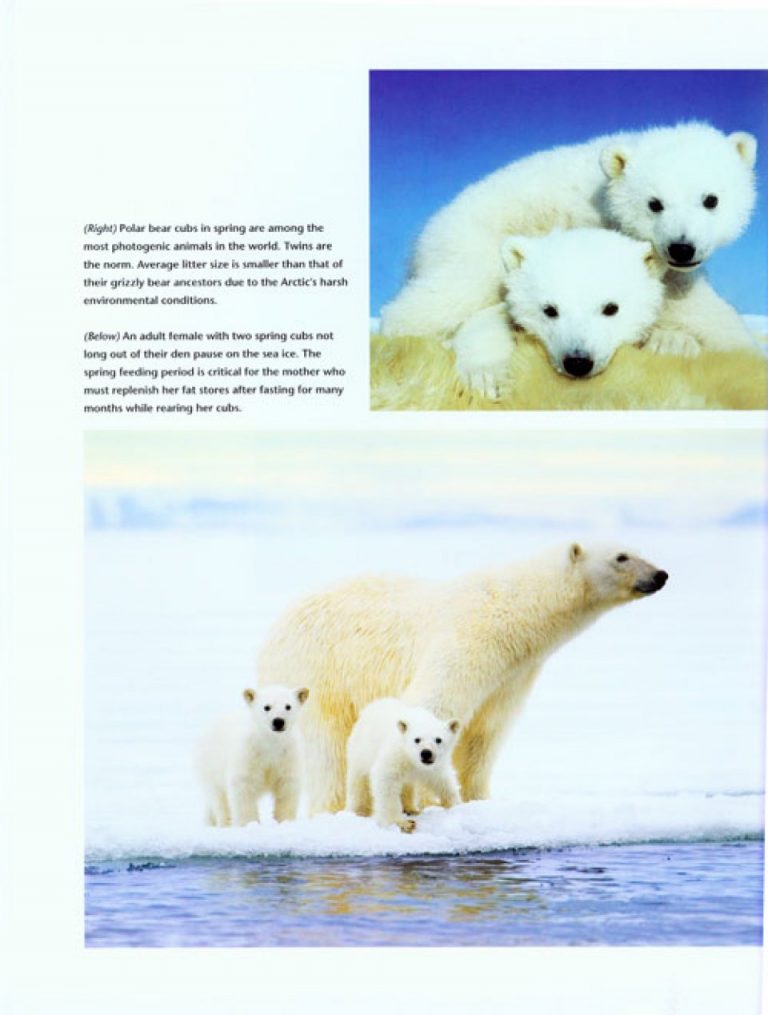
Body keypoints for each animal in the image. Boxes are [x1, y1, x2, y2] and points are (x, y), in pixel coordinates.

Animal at [197, 683, 309, 827]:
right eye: (266, 707)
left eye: (288, 706)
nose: (278, 721)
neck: (270, 743)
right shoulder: (249, 753)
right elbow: (244, 787)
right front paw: (249, 824)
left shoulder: (287, 755)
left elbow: (287, 787)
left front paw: (285, 821)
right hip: (211, 765)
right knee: (219, 798)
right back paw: (223, 823)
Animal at [256, 542, 668, 815]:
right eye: (621, 556)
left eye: (638, 549)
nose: (660, 575)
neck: (516, 614)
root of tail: (275, 628)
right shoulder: (468, 640)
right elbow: (433, 702)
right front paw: (425, 797)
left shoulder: (512, 674)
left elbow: (486, 734)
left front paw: (479, 800)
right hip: (318, 669)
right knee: (328, 748)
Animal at [346, 698, 461, 833]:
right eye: (417, 739)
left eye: (438, 739)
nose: (426, 753)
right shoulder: (396, 754)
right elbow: (386, 781)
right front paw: (403, 823)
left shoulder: (436, 765)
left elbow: (443, 781)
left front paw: (455, 804)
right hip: (361, 750)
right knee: (358, 782)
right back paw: (358, 811)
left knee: (407, 786)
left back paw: (411, 809)